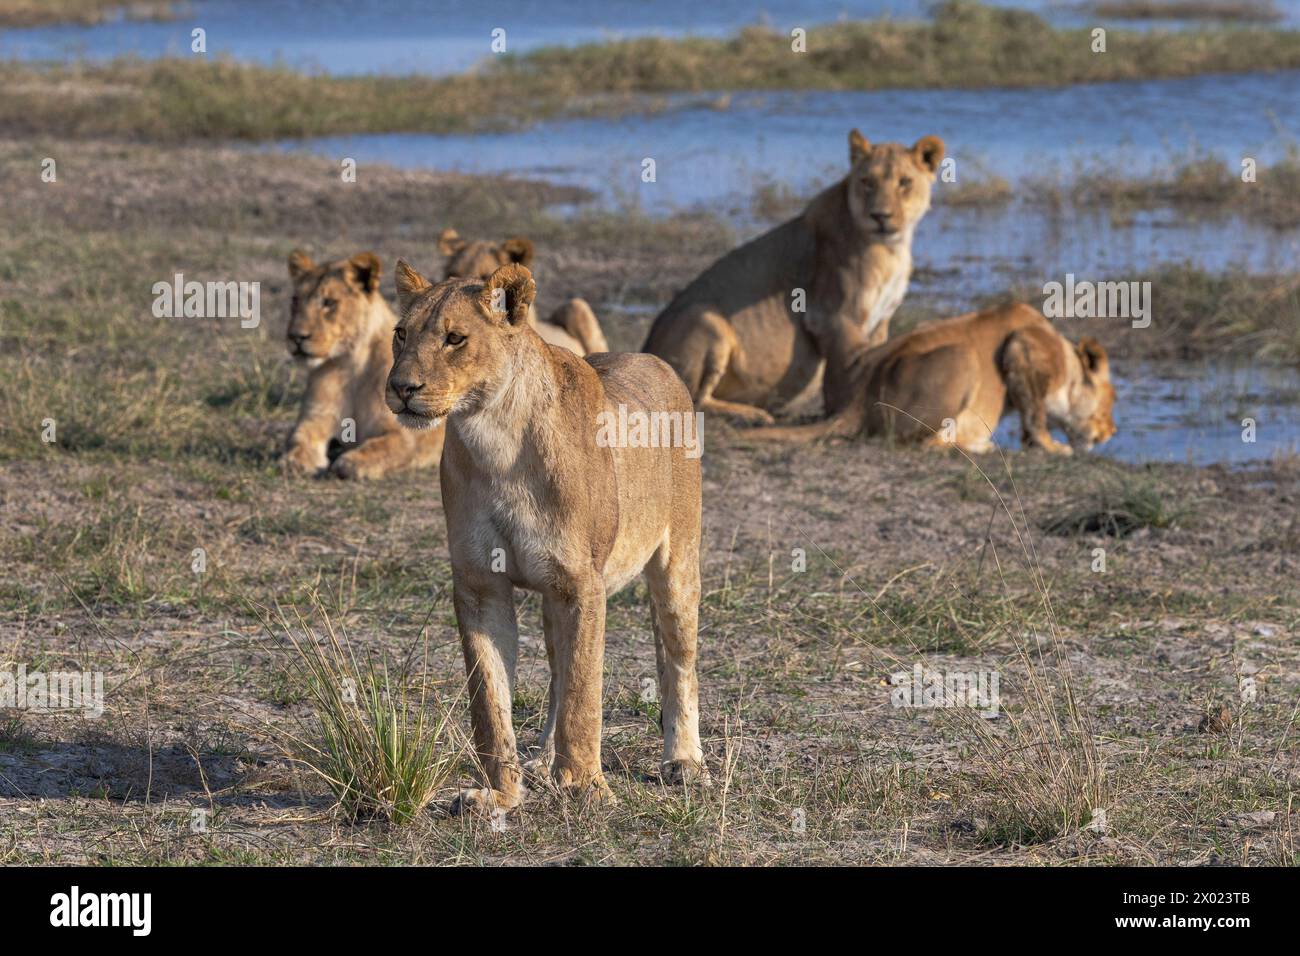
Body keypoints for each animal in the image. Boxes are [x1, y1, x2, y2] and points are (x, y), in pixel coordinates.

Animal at [282, 250, 444, 479]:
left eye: (328, 302)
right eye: (296, 301)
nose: (296, 337)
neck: (352, 367)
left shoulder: (405, 432)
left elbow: (382, 447)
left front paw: (349, 462)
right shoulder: (316, 417)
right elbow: (299, 437)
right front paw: (295, 460)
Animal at [387, 259, 704, 812]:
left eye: (454, 338)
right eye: (400, 334)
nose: (401, 387)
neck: (493, 437)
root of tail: (657, 362)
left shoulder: (581, 583)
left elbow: (584, 691)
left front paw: (584, 787)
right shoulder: (480, 584)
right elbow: (491, 700)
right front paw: (500, 793)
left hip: (677, 564)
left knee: (679, 661)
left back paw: (685, 761)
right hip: (554, 596)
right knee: (558, 672)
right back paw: (541, 762)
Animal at [642, 129, 945, 425]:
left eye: (905, 182)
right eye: (867, 181)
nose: (880, 216)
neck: (891, 248)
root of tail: (647, 346)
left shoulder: (880, 320)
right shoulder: (834, 316)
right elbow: (842, 372)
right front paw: (842, 411)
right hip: (706, 318)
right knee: (697, 401)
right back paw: (754, 415)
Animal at [746, 303, 1117, 455]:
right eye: (1111, 400)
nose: (1112, 432)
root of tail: (861, 397)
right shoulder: (1021, 346)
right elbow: (1036, 416)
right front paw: (1053, 447)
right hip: (964, 357)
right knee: (922, 443)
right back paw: (974, 445)